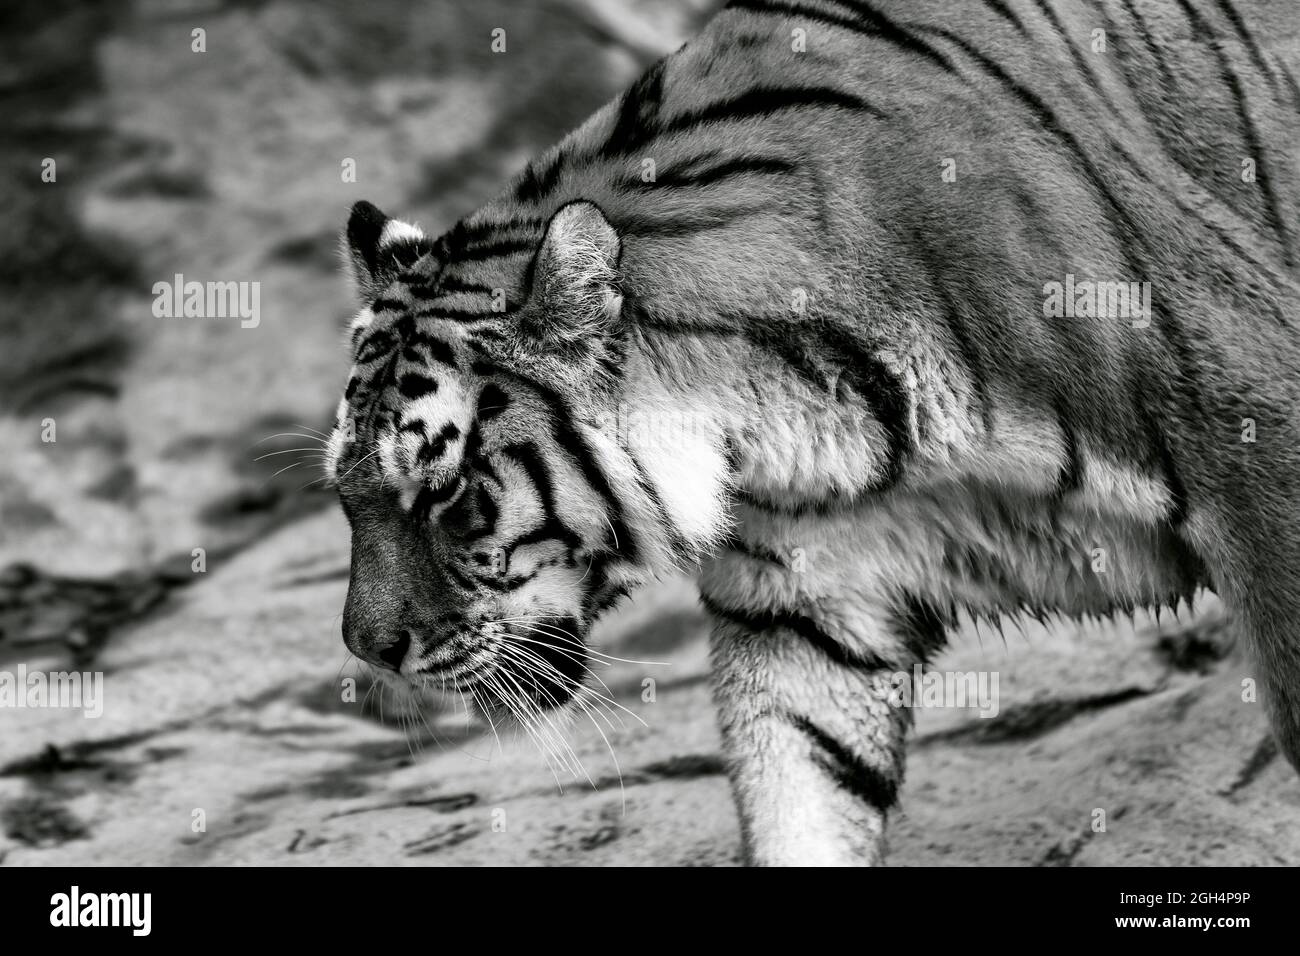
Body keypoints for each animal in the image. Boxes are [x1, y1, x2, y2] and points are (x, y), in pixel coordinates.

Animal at [324, 0, 1300, 865]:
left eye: (449, 493)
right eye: (346, 496)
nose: (368, 652)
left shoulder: (1262, 453)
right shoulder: (802, 603)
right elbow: (799, 791)